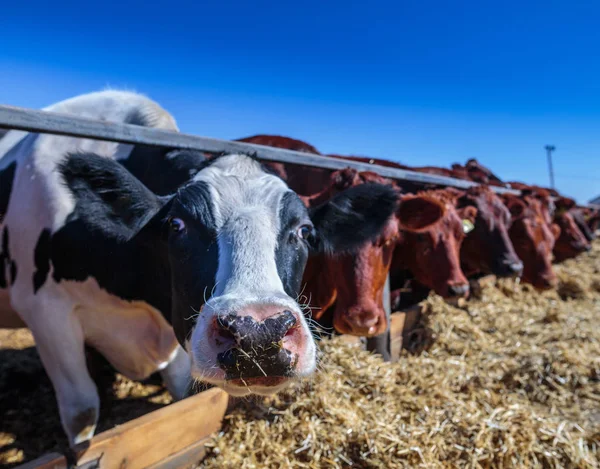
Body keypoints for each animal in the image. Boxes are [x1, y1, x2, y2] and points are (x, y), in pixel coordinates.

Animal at [0, 91, 398, 446]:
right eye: (177, 225)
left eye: (304, 231)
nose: (259, 334)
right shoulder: (46, 312)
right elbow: (82, 412)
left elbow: (179, 397)